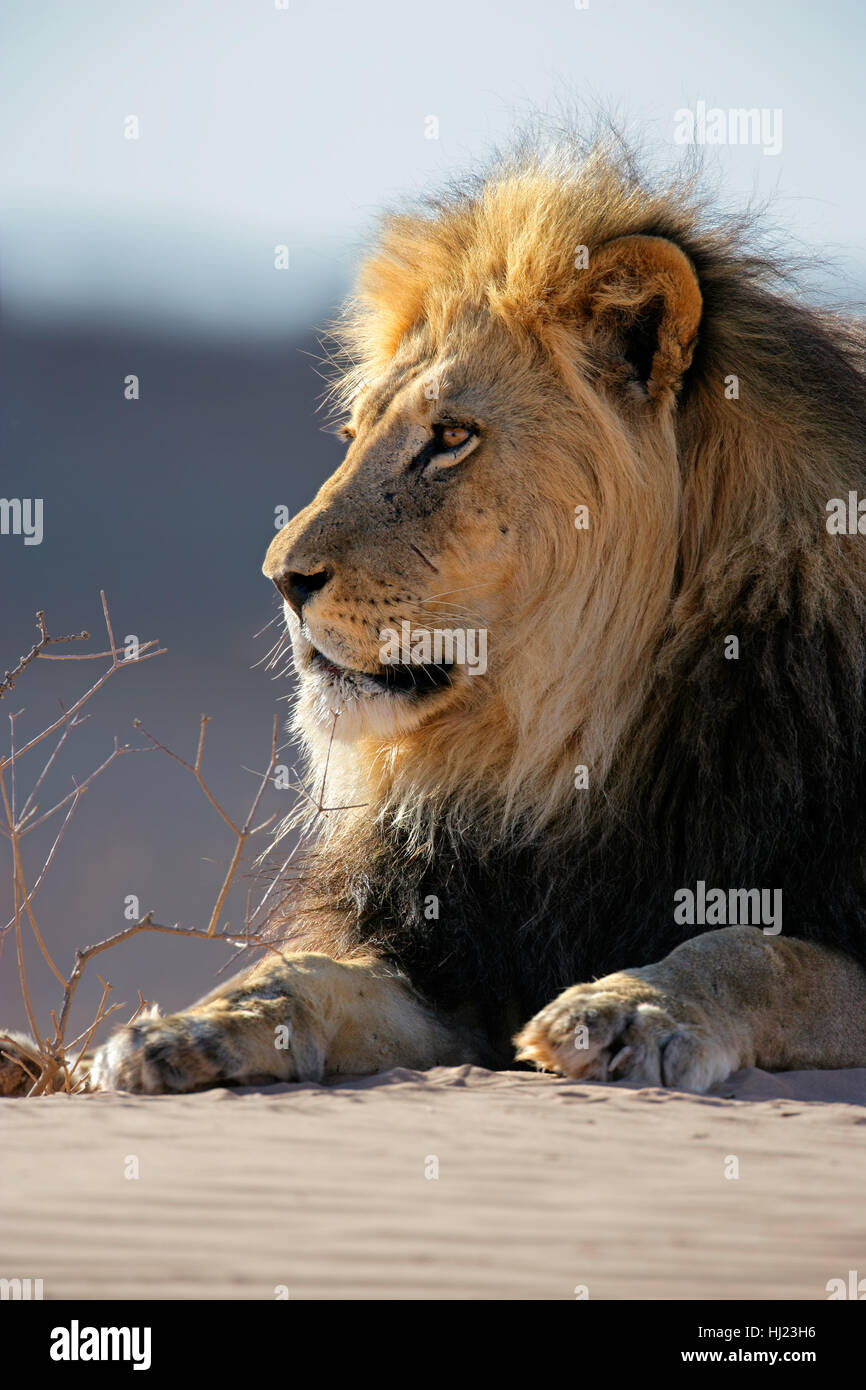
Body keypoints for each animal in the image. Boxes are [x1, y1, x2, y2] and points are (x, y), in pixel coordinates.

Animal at [7, 135, 866, 1097]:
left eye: (450, 438)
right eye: (354, 434)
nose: (281, 578)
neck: (572, 745)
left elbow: (751, 948)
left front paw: (625, 1011)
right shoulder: (448, 959)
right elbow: (299, 973)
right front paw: (182, 1031)